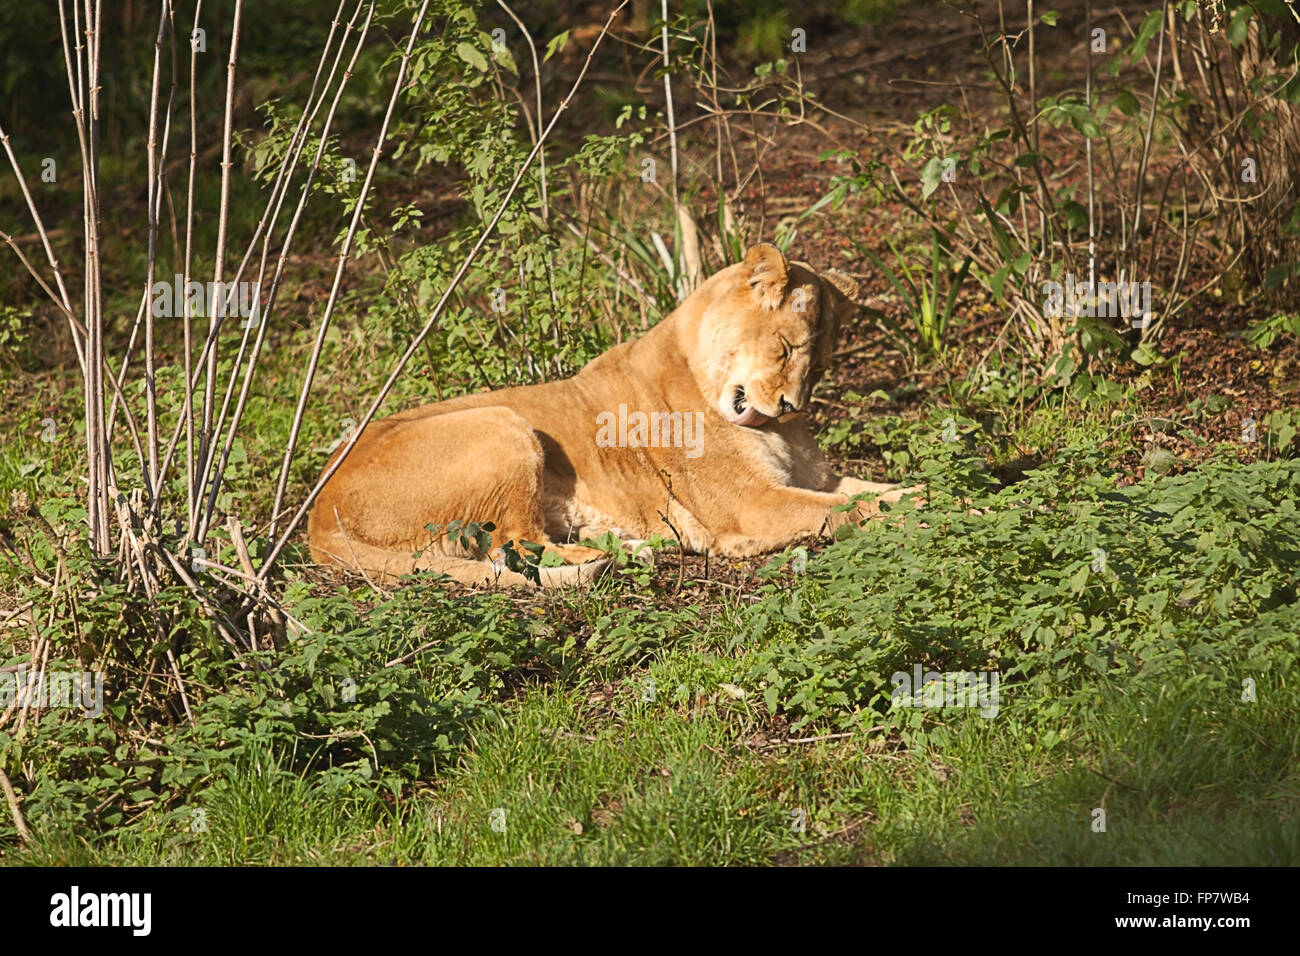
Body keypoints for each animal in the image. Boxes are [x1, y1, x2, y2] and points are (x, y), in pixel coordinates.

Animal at [307, 243, 915, 587]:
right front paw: (918, 512)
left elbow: (871, 492)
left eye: (821, 366)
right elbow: (851, 509)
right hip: (500, 423)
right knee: (516, 545)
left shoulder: (815, 478)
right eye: (787, 349)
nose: (793, 405)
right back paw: (621, 555)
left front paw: (933, 495)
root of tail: (315, 520)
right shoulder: (751, 506)